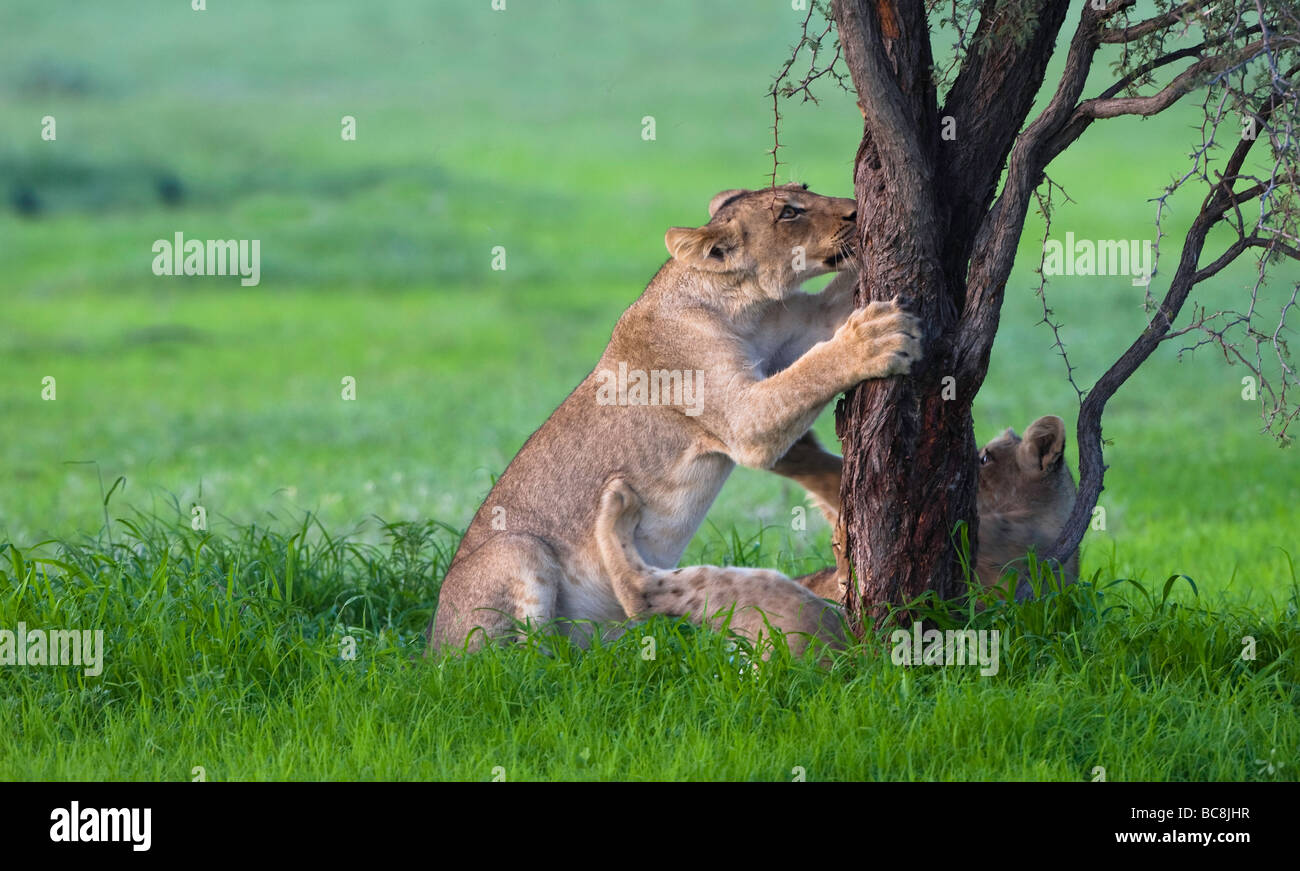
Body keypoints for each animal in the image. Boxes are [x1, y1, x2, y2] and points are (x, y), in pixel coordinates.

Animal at [427, 184, 923, 653]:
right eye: (788, 213)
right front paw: (876, 339)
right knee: (525, 660)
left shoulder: (805, 323)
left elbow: (826, 323)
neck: (747, 308)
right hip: (515, 551)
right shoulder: (744, 418)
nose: (857, 210)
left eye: (805, 188)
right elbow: (811, 372)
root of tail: (431, 651)